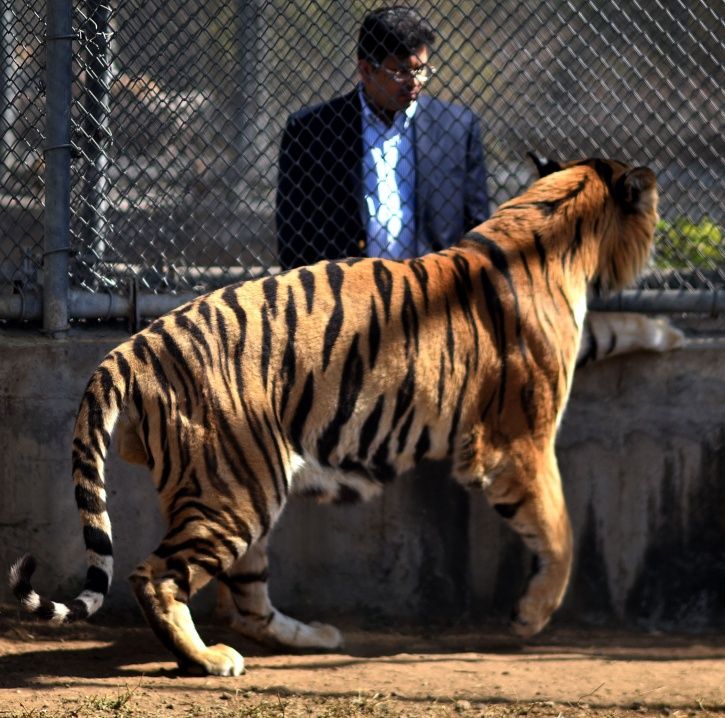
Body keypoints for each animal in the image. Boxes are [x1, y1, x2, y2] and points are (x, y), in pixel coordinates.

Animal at [10, 156, 658, 677]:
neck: (557, 216)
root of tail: (132, 346)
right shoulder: (519, 443)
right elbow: (559, 528)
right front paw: (532, 616)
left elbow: (611, 332)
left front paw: (660, 333)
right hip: (238, 487)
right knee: (160, 577)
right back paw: (209, 661)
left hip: (237, 488)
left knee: (246, 599)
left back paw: (313, 637)